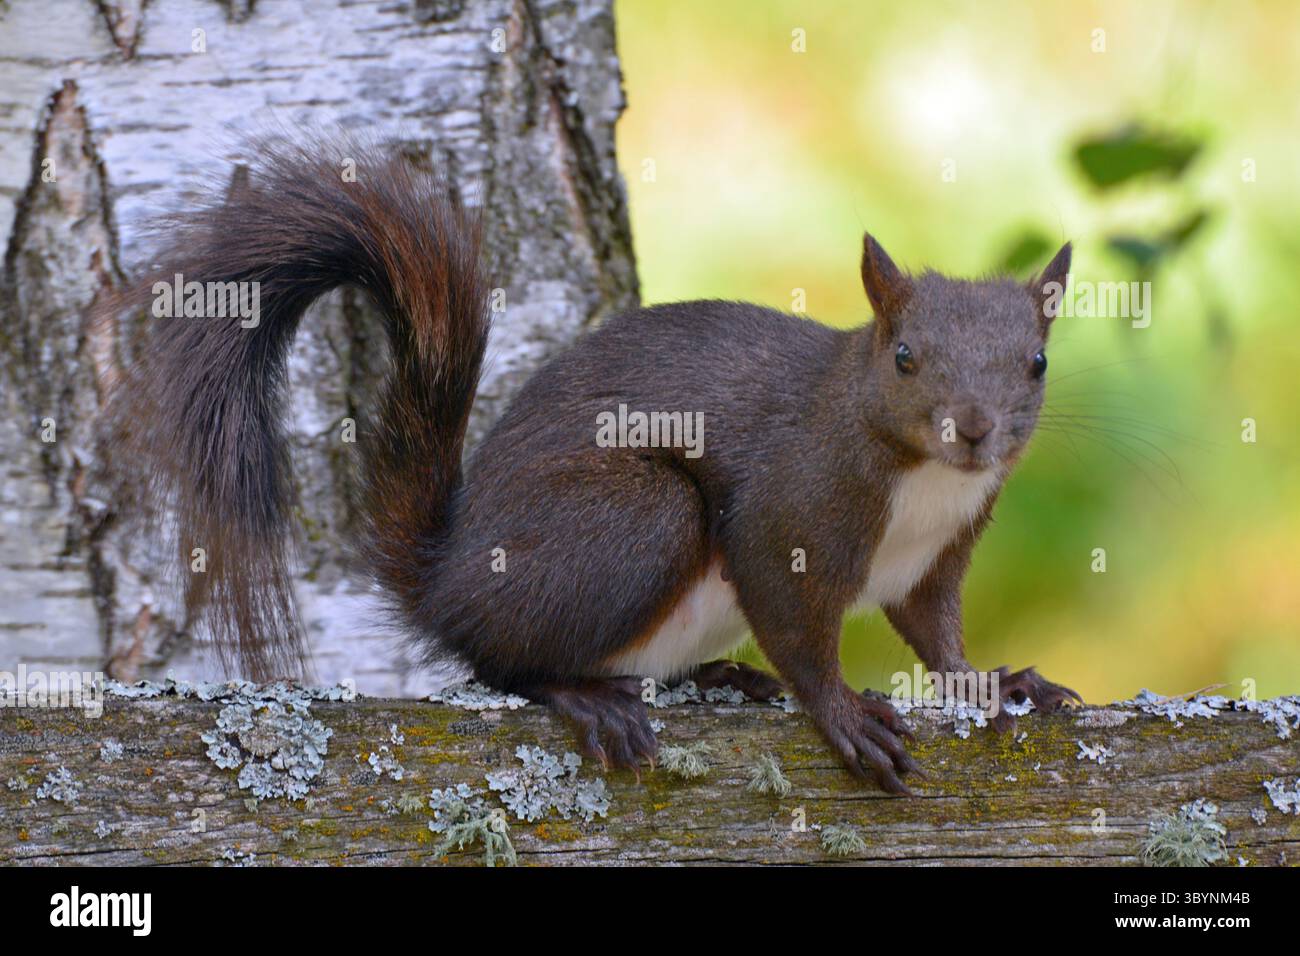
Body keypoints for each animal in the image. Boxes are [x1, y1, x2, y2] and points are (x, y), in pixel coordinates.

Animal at [100, 140, 1081, 793]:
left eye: (1037, 362)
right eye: (906, 356)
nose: (975, 431)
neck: (922, 478)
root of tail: (447, 576)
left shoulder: (933, 557)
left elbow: (936, 633)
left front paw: (998, 681)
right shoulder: (791, 513)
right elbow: (797, 624)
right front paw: (845, 714)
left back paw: (718, 677)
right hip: (636, 516)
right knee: (500, 662)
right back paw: (586, 696)